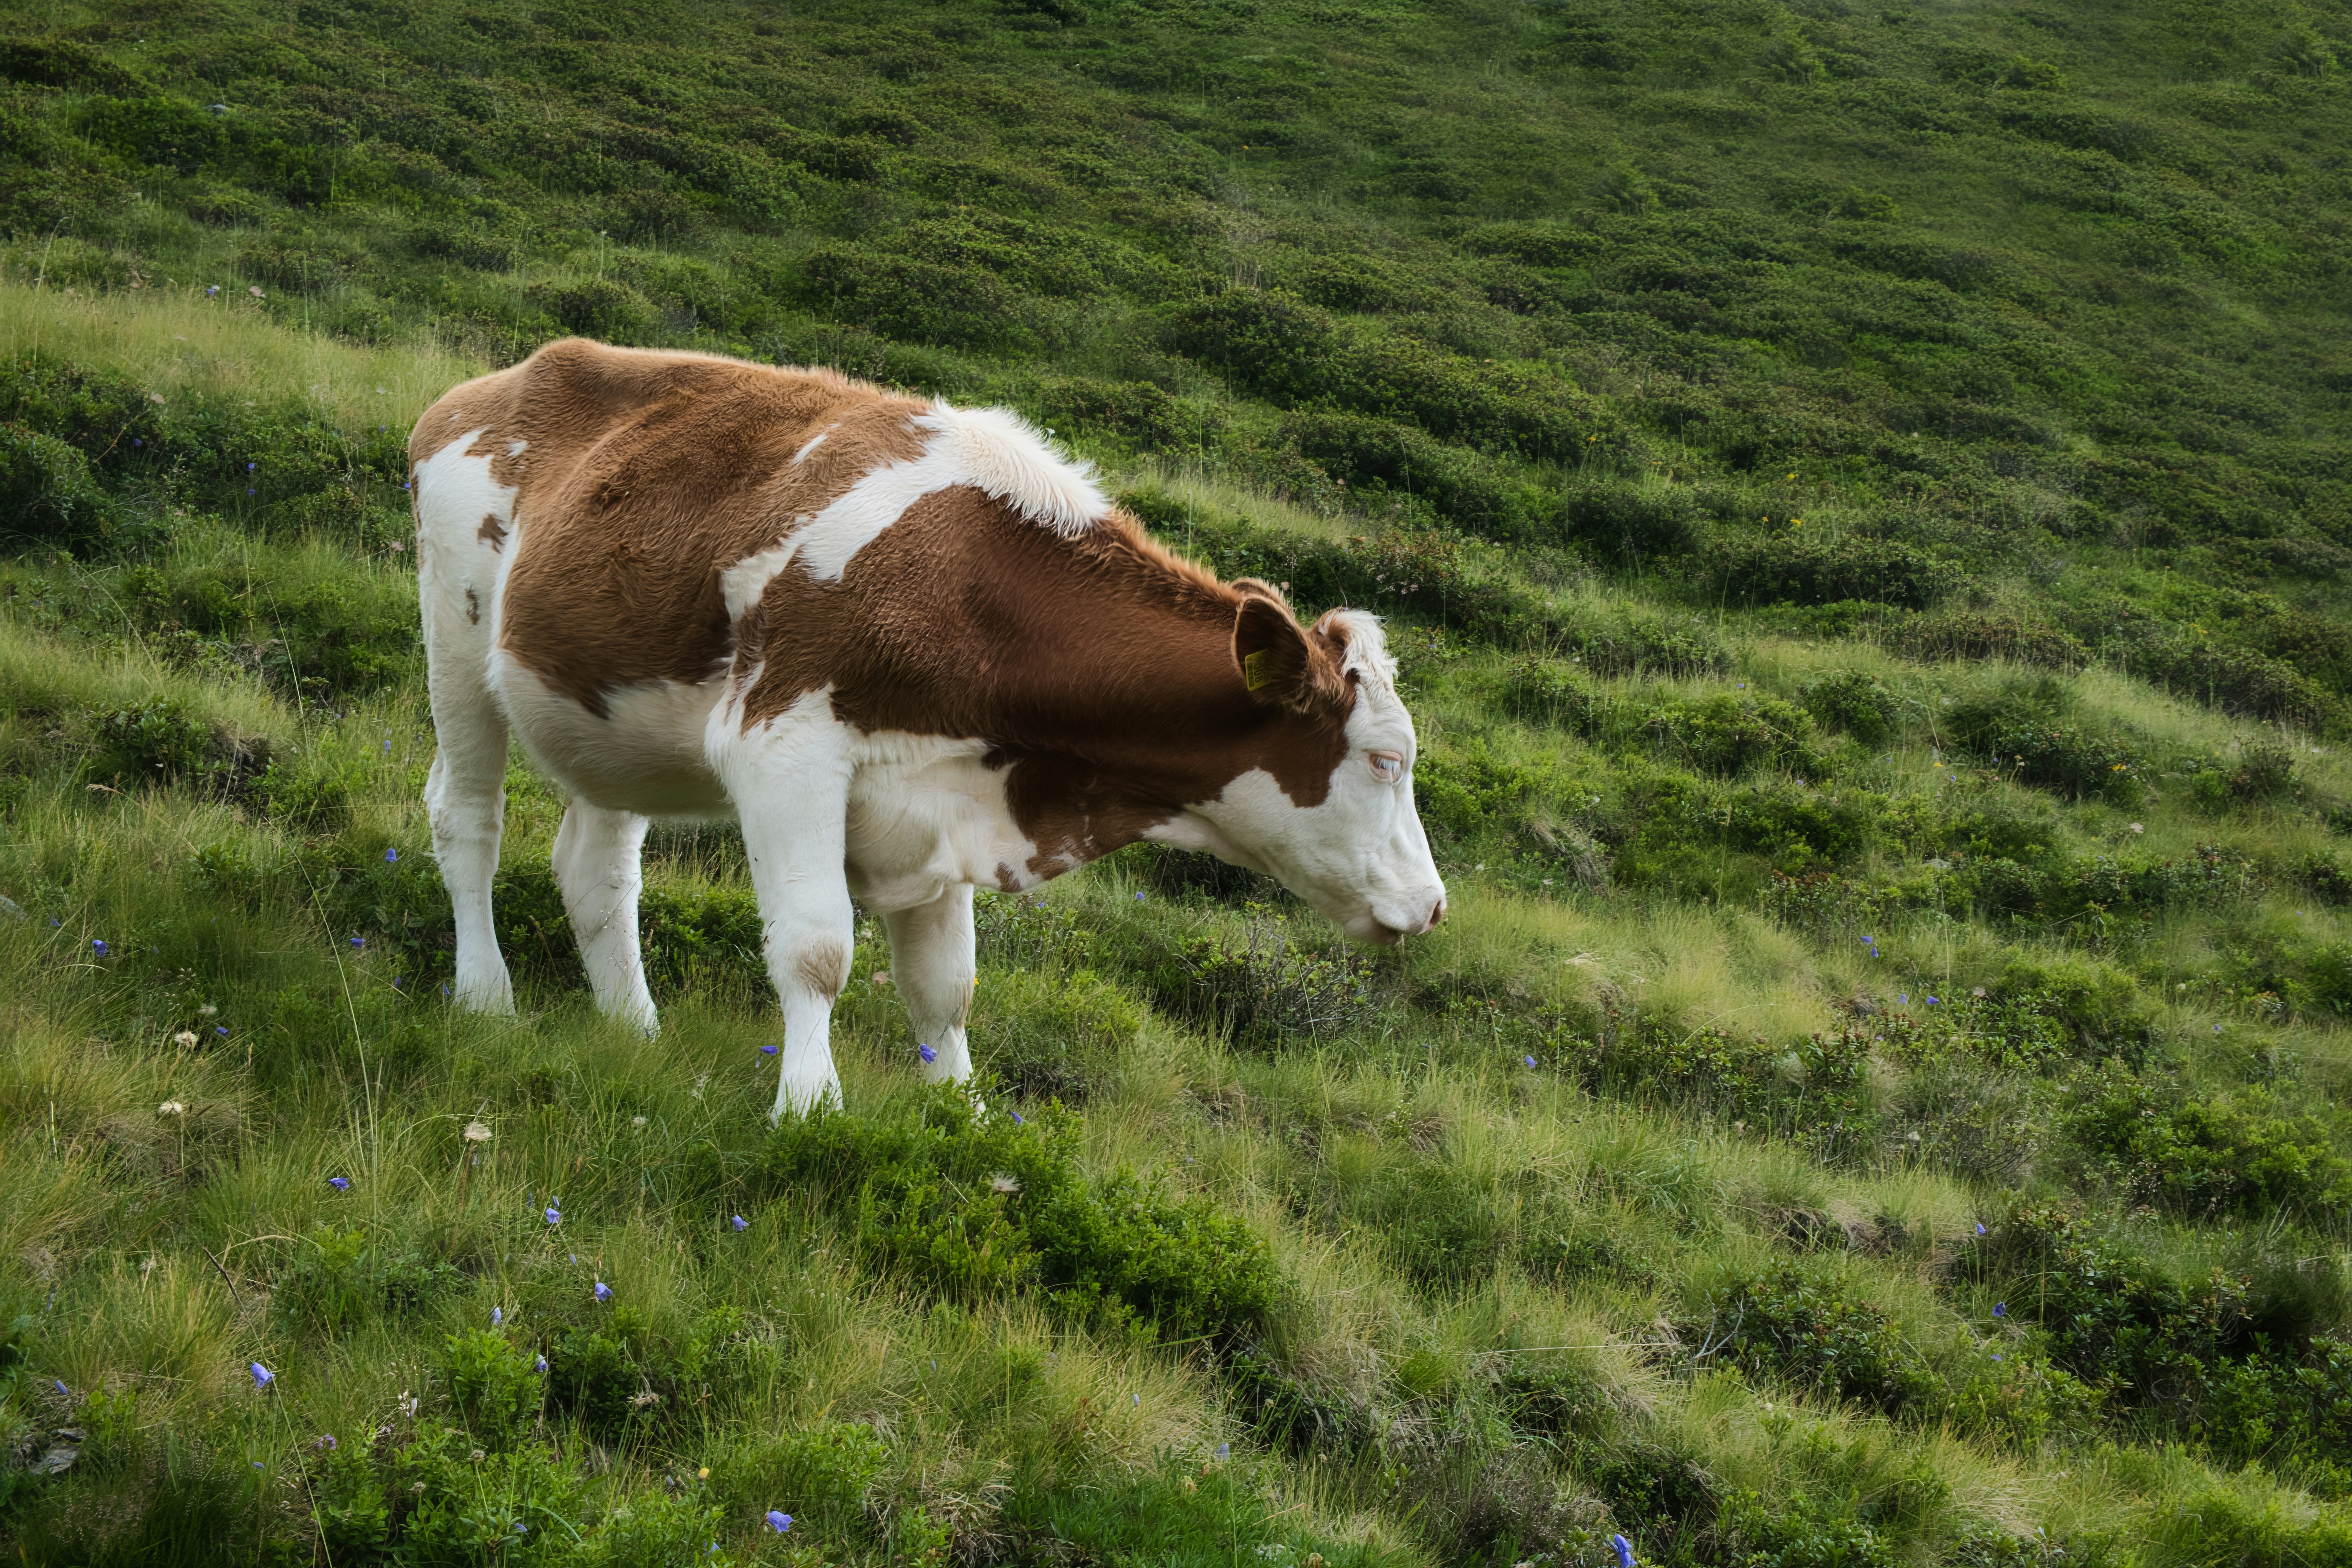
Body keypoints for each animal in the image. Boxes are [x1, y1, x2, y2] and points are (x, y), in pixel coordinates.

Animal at [409, 339, 1445, 1120]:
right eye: (1385, 760)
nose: (1433, 906)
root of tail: (490, 385)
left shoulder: (945, 799)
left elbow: (946, 988)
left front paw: (962, 1116)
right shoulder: (784, 747)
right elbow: (816, 949)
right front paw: (809, 1106)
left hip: (608, 720)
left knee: (597, 868)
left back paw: (635, 1029)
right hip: (454, 640)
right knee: (467, 818)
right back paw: (485, 996)